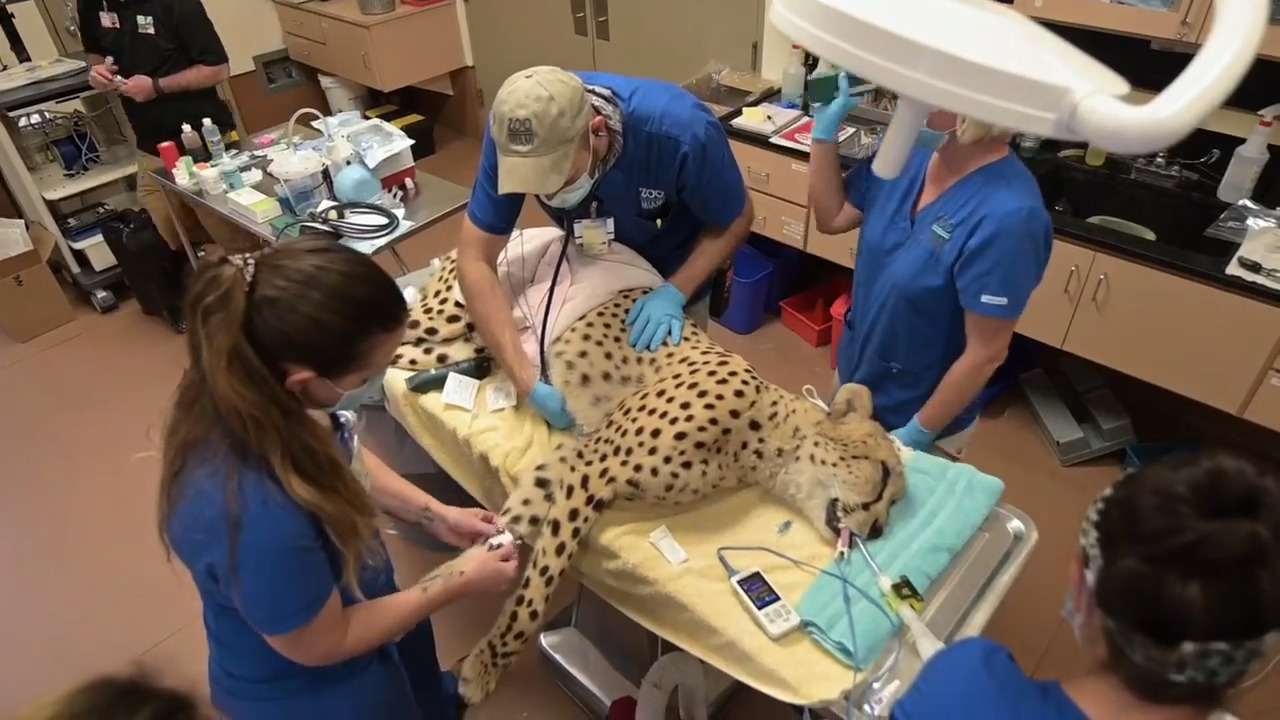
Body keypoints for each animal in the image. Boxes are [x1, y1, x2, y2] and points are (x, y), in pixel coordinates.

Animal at [391, 250, 907, 705]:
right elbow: (540, 585)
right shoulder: (592, 469)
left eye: (896, 503)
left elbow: (503, 534)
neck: (765, 436)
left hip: (463, 345)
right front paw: (485, 662)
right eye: (884, 477)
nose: (880, 529)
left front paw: (442, 590)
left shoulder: (566, 465)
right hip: (447, 316)